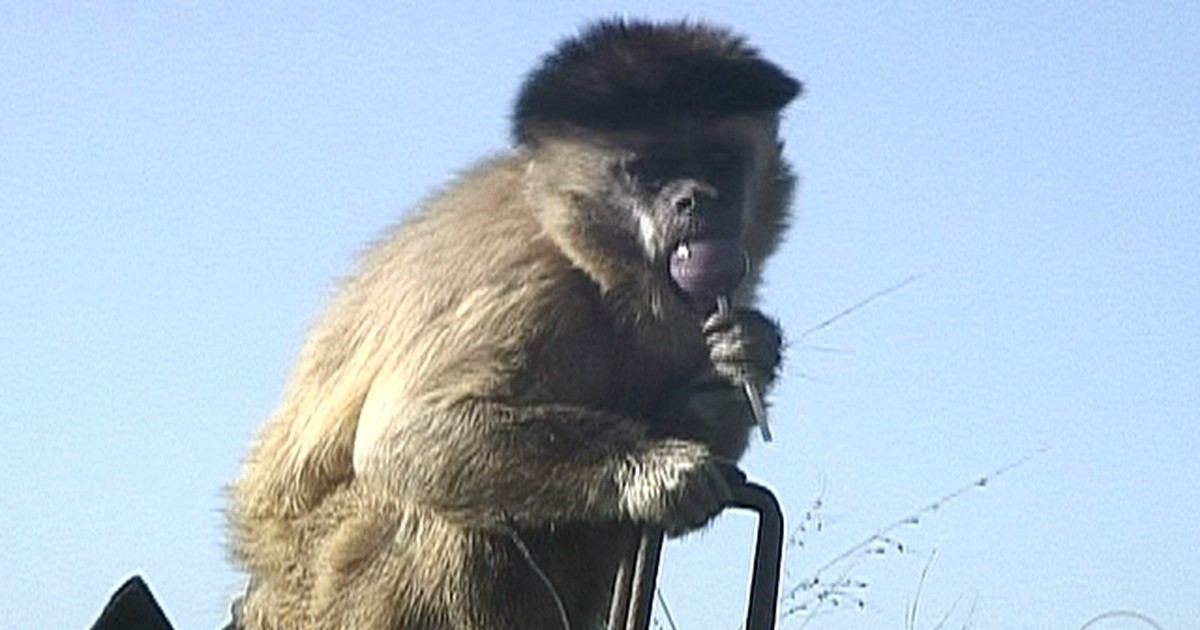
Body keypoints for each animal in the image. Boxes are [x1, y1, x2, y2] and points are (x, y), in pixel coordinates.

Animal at [227, 18, 800, 630]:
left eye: (718, 160)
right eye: (650, 172)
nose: (695, 199)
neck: (600, 271)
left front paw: (746, 356)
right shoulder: (529, 281)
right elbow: (400, 435)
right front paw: (657, 471)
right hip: (318, 579)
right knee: (444, 510)